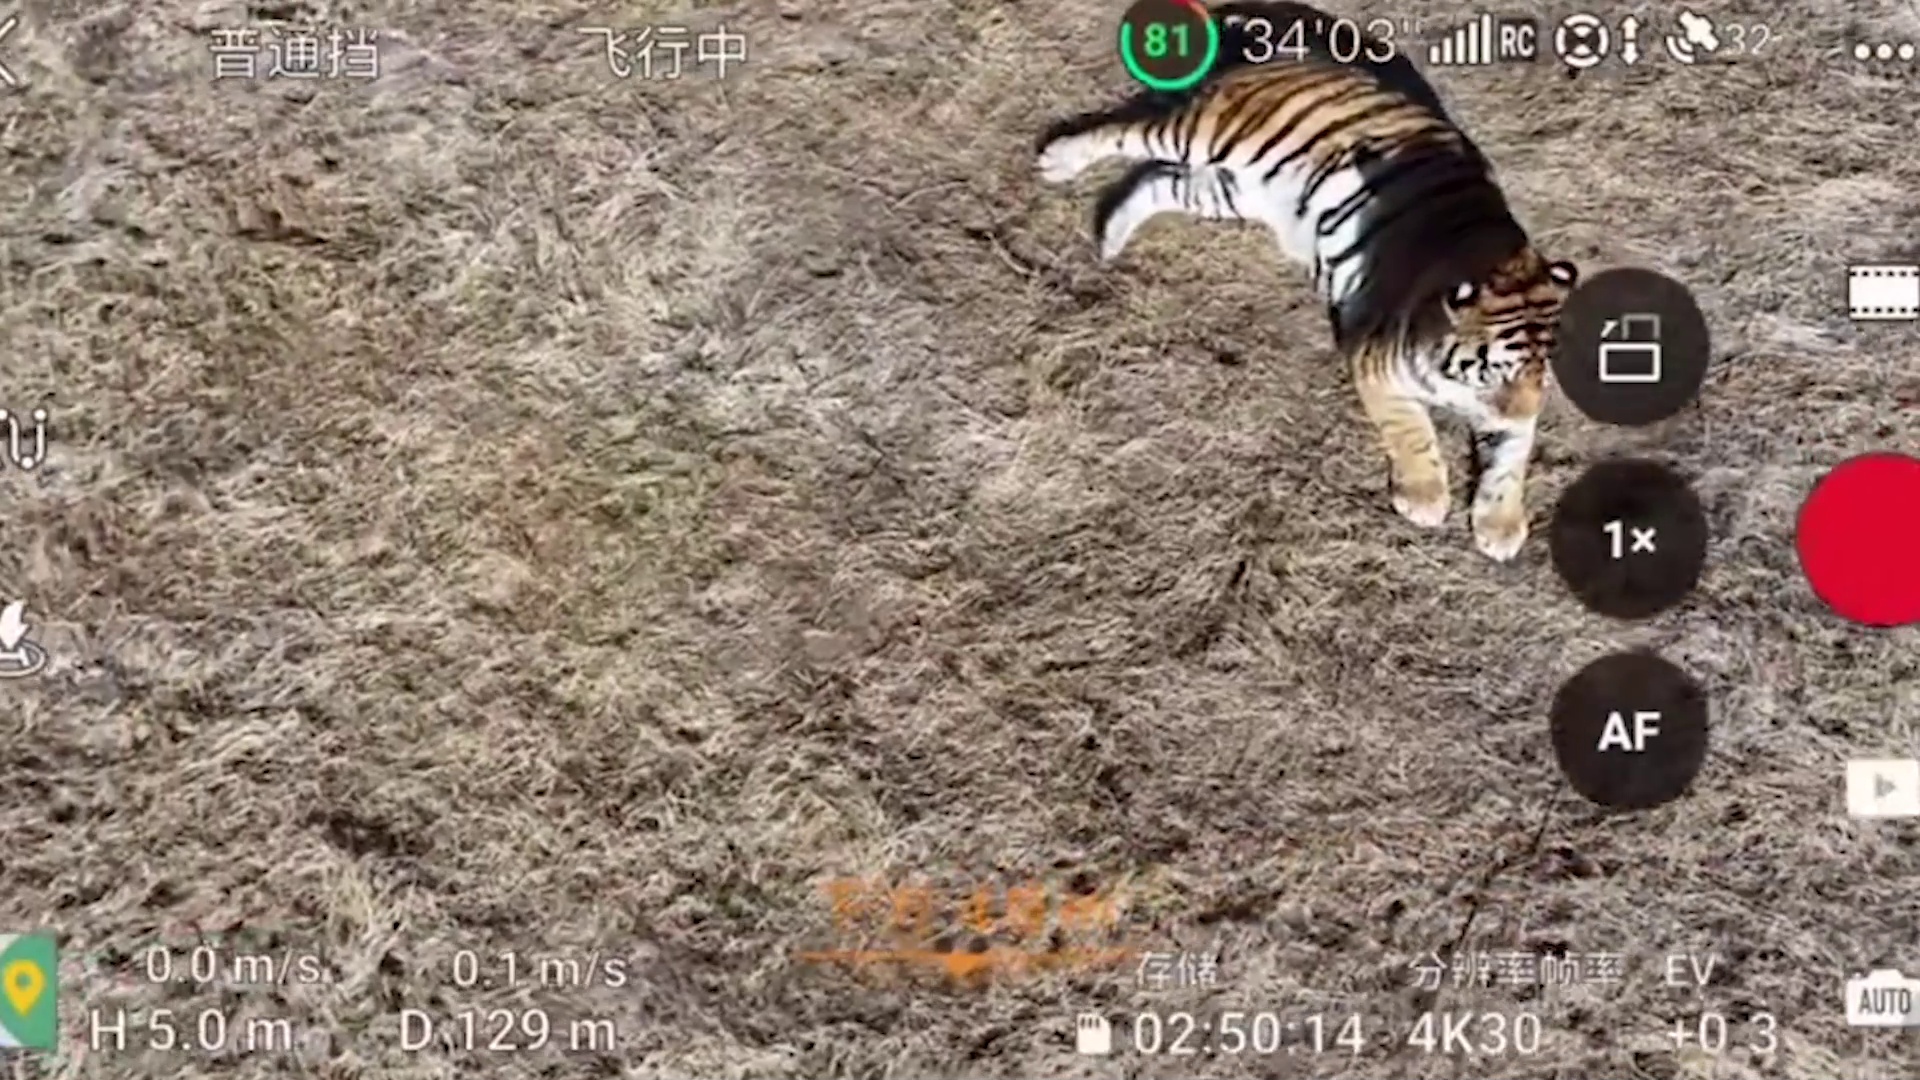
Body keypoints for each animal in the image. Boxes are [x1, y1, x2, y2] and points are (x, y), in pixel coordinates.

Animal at [1034, 2, 1578, 561]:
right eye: (1497, 370)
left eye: (1541, 369)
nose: (1520, 408)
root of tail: (1300, 52)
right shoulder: (1376, 363)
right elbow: (1412, 428)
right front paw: (1425, 497)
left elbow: (1511, 460)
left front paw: (1501, 528)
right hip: (1206, 132)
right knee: (1124, 132)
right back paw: (1058, 159)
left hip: (1233, 190)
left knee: (1156, 181)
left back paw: (1109, 236)